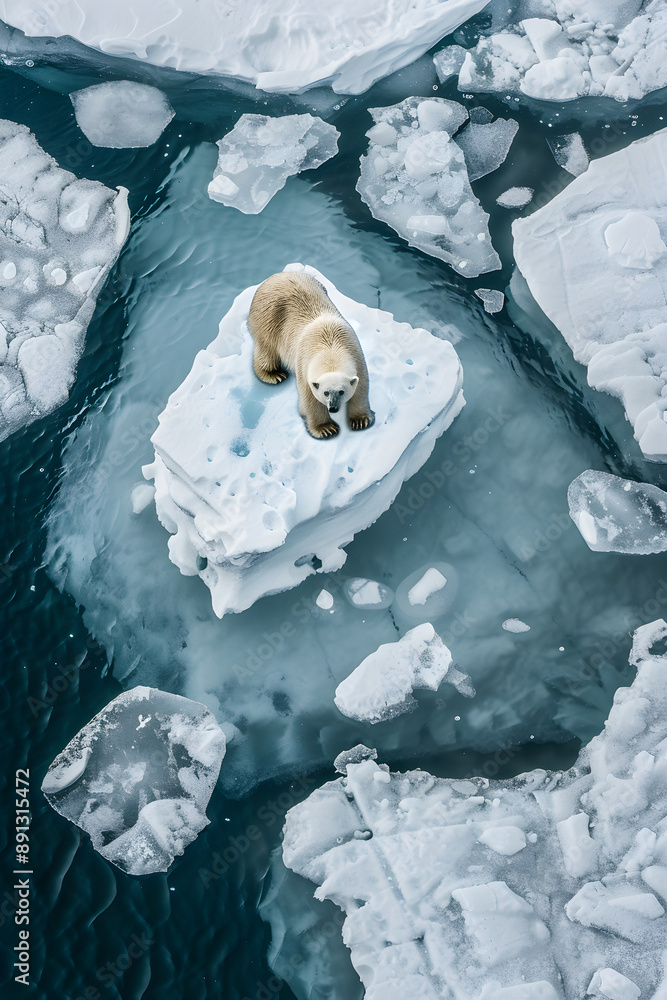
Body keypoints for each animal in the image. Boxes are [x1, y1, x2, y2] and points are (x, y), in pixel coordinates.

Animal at [247, 271, 375, 440]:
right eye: (325, 392)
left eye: (342, 391)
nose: (333, 408)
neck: (330, 345)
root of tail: (277, 275)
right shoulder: (304, 366)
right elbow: (310, 400)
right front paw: (326, 428)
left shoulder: (357, 356)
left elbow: (361, 389)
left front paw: (360, 420)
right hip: (268, 318)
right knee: (267, 349)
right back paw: (275, 374)